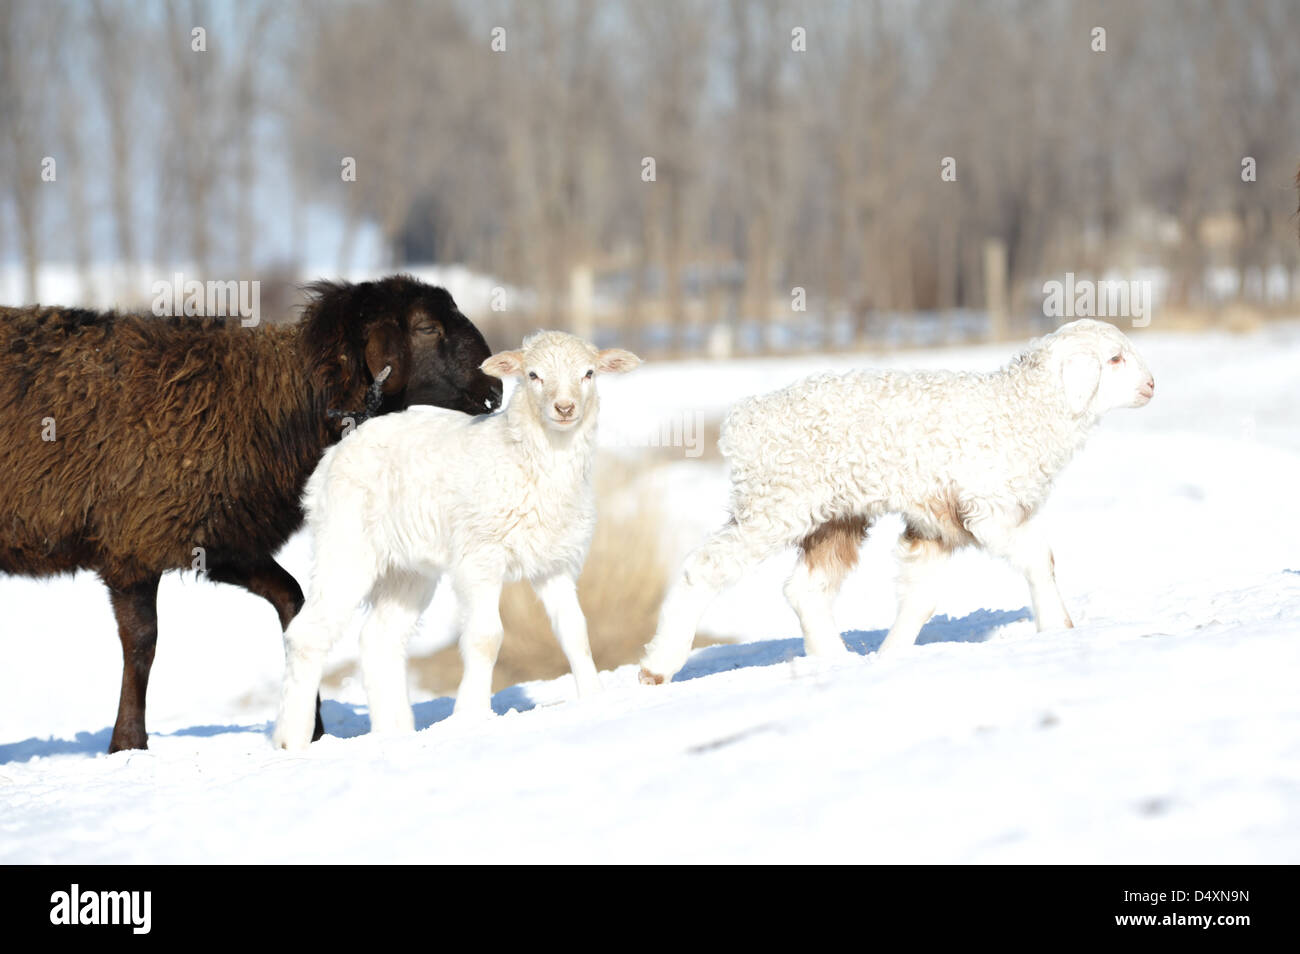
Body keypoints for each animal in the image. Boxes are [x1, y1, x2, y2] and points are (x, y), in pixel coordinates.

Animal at [0, 275, 502, 752]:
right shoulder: (134, 542)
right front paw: (128, 743)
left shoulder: (221, 541)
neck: (268, 406)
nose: (496, 388)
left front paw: (312, 727)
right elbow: (142, 642)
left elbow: (292, 601)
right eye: (427, 327)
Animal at [272, 330, 640, 750]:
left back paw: (395, 733)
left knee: (380, 639)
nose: (565, 408)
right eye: (533, 375)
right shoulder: (481, 557)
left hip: (408, 569)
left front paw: (593, 698)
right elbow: (486, 637)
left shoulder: (555, 562)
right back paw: (292, 738)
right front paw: (471, 715)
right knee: (307, 634)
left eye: (589, 373)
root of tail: (336, 451)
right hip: (346, 542)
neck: (528, 457)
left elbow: (576, 632)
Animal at [639, 318, 1155, 685]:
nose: (1151, 385)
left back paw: (836, 661)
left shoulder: (936, 524)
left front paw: (892, 657)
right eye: (1114, 359)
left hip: (835, 513)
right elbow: (1039, 558)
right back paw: (658, 666)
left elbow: (919, 597)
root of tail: (742, 421)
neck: (1025, 408)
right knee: (706, 567)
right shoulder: (990, 506)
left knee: (806, 589)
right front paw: (1058, 629)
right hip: (776, 503)